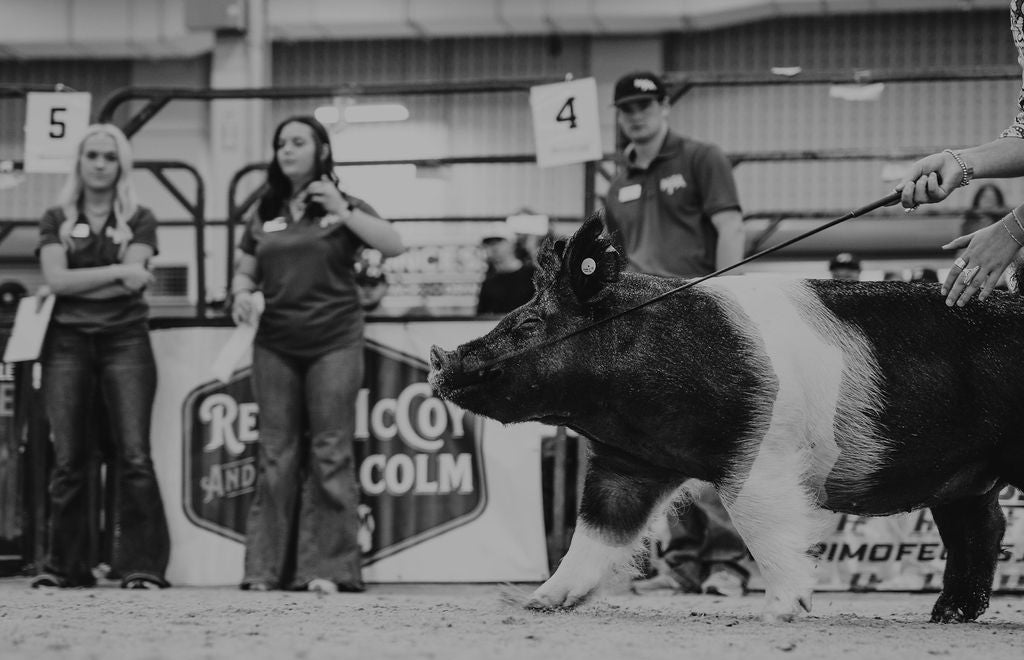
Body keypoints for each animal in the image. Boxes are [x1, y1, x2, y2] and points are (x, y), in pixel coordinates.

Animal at [428, 215, 1024, 623]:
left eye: (529, 326)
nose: (439, 357)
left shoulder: (758, 454)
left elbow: (763, 528)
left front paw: (782, 611)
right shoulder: (628, 462)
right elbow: (596, 531)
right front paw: (538, 603)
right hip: (964, 476)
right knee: (984, 528)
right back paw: (947, 616)